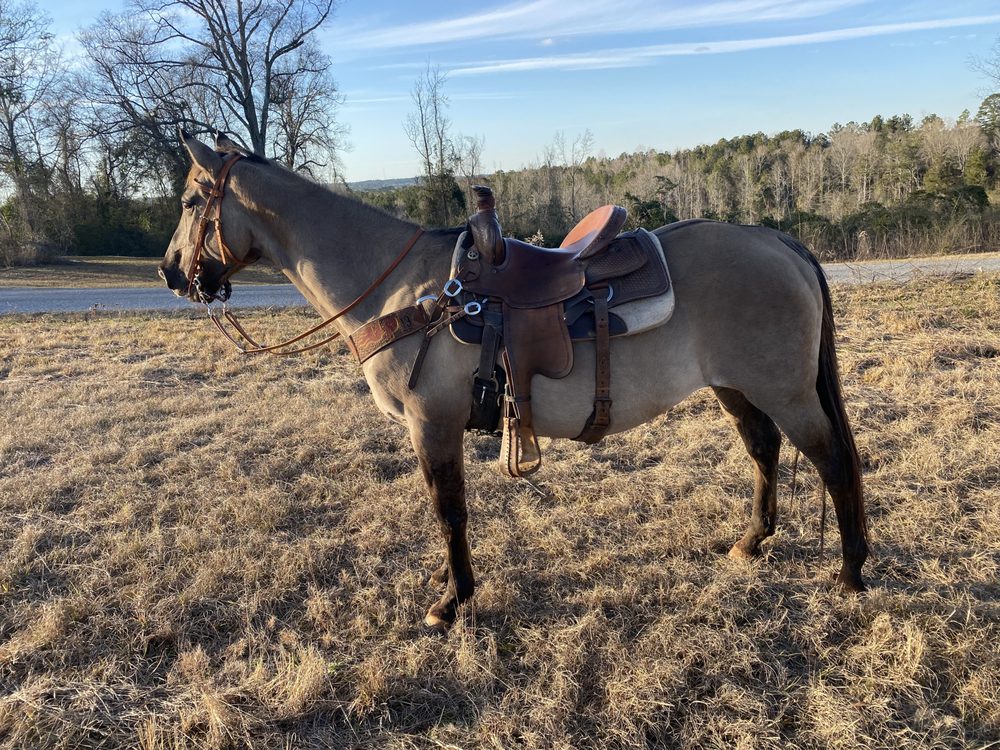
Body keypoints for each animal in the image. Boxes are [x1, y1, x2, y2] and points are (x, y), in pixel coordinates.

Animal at [159, 131, 869, 630]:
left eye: (192, 201)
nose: (170, 272)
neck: (404, 290)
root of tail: (778, 242)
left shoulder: (432, 425)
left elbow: (448, 510)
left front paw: (451, 602)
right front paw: (450, 589)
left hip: (785, 391)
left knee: (834, 460)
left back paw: (852, 572)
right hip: (735, 388)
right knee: (764, 450)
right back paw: (752, 543)